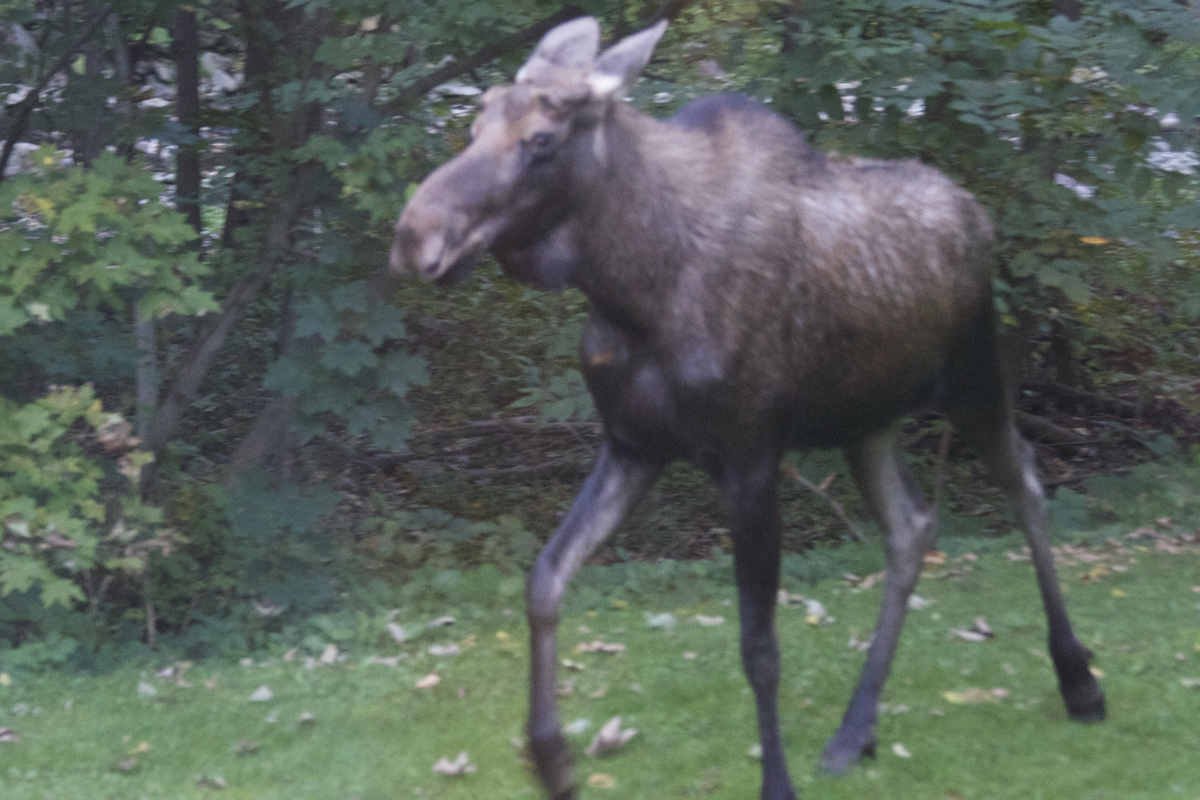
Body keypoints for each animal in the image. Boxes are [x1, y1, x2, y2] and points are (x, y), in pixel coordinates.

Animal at [389, 16, 1105, 800]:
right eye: (476, 119)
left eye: (543, 139)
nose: (415, 236)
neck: (631, 286)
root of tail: (978, 213)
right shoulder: (631, 444)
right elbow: (545, 579)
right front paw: (551, 755)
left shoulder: (750, 457)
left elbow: (758, 645)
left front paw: (776, 781)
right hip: (867, 420)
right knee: (912, 526)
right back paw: (855, 731)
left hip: (974, 377)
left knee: (1026, 483)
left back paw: (1078, 680)